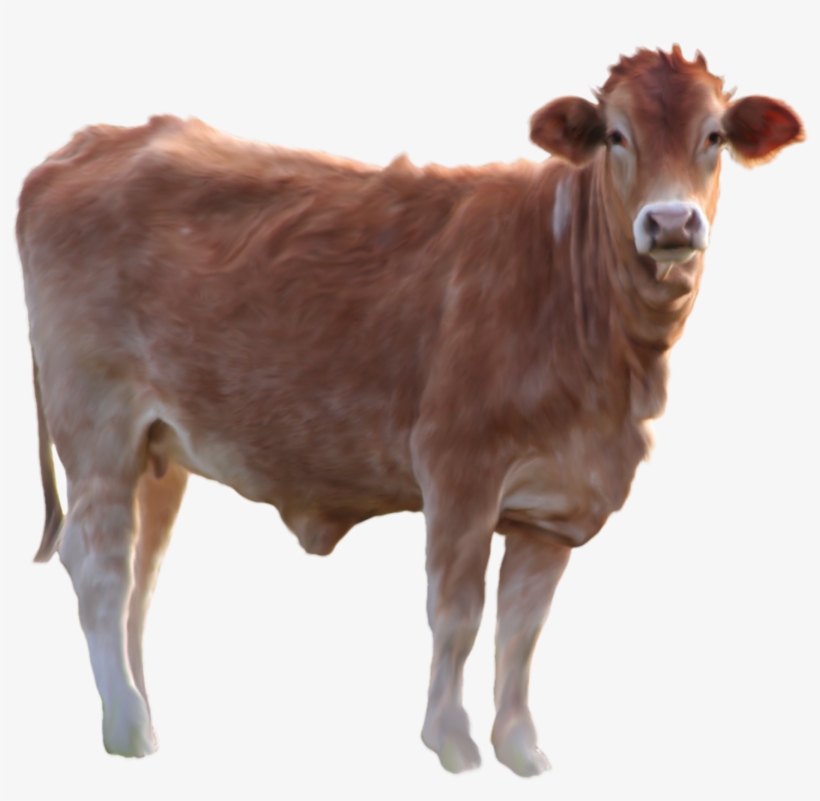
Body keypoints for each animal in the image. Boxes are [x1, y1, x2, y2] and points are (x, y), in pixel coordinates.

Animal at [16, 46, 803, 776]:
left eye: (714, 135)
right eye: (616, 135)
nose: (670, 222)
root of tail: (86, 144)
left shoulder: (555, 504)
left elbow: (522, 629)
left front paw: (522, 749)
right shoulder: (458, 467)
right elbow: (458, 615)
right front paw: (452, 742)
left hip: (159, 449)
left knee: (140, 576)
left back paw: (142, 717)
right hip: (97, 424)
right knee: (101, 567)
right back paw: (128, 726)